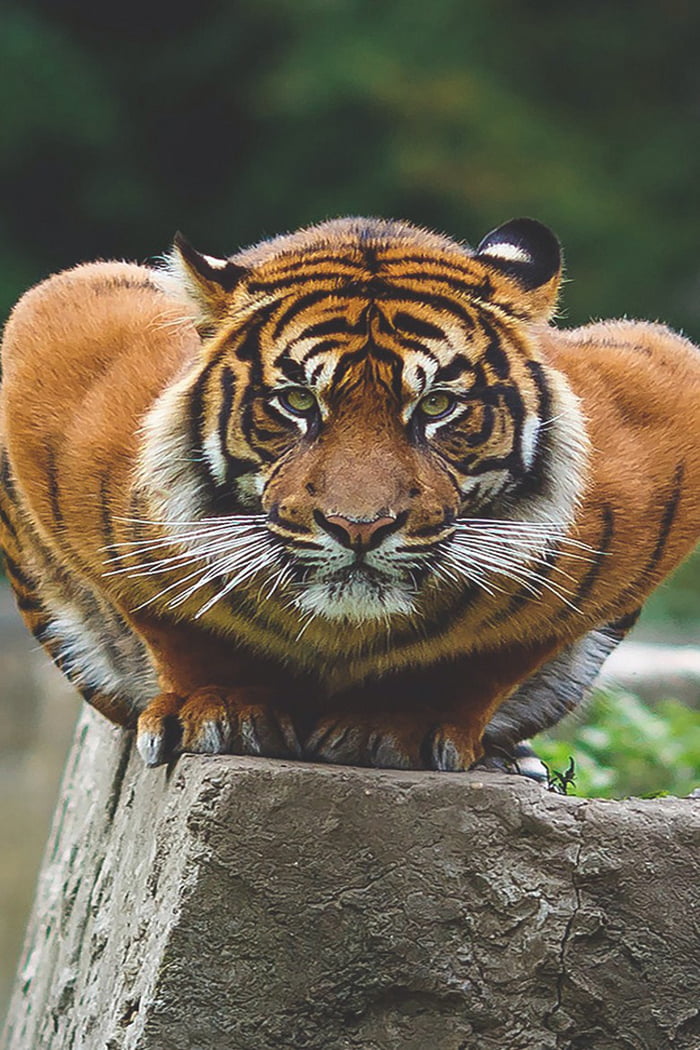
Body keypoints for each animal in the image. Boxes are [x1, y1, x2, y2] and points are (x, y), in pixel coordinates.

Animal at [0, 216, 698, 776]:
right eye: (298, 402)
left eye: (436, 406)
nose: (359, 528)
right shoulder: (57, 324)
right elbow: (174, 619)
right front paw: (222, 707)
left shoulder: (665, 391)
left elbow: (494, 653)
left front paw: (399, 723)